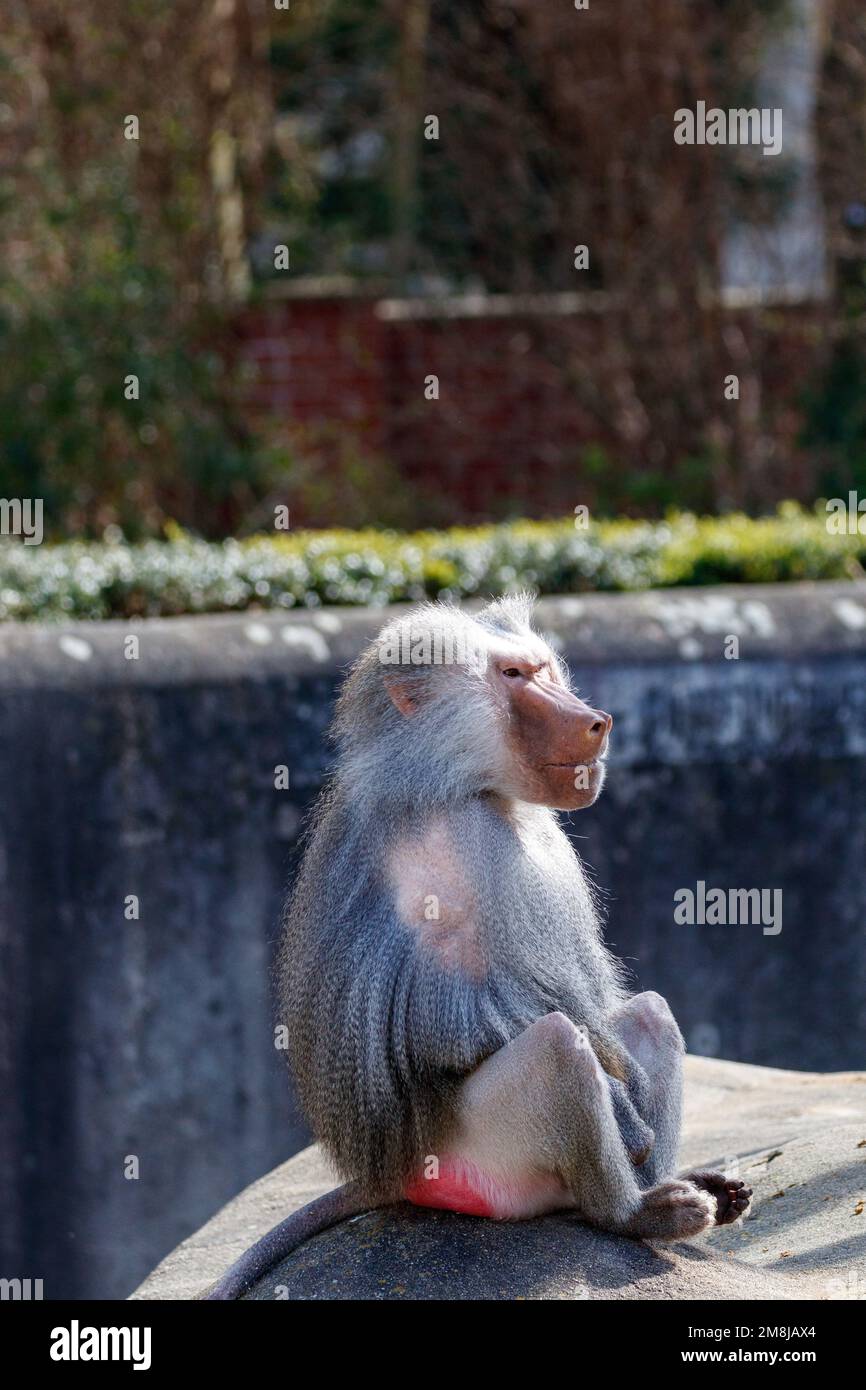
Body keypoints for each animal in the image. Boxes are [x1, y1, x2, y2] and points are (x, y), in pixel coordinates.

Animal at [204, 596, 750, 1299]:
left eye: (542, 669)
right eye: (512, 676)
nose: (596, 721)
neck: (464, 783)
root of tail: (393, 1175)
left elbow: (598, 1003)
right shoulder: (465, 844)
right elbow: (453, 1023)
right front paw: (625, 1120)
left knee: (645, 1016)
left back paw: (671, 1188)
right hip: (473, 1151)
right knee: (556, 1047)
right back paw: (633, 1213)